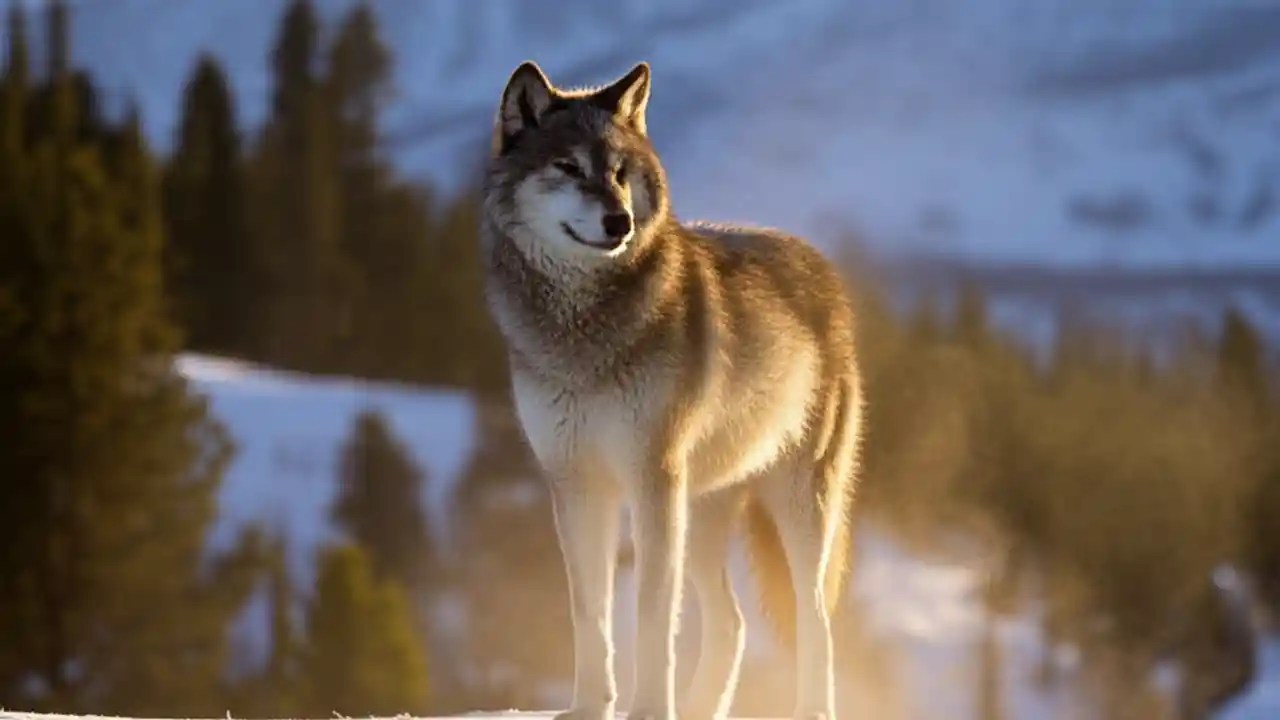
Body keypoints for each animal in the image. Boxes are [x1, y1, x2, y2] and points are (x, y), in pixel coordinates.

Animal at [480, 60, 862, 720]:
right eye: (568, 167)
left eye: (619, 173)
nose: (620, 222)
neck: (583, 336)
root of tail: (824, 268)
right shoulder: (576, 483)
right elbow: (590, 613)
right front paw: (590, 706)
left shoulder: (651, 479)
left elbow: (653, 615)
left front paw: (649, 709)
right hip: (704, 515)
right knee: (733, 624)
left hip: (795, 507)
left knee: (816, 620)